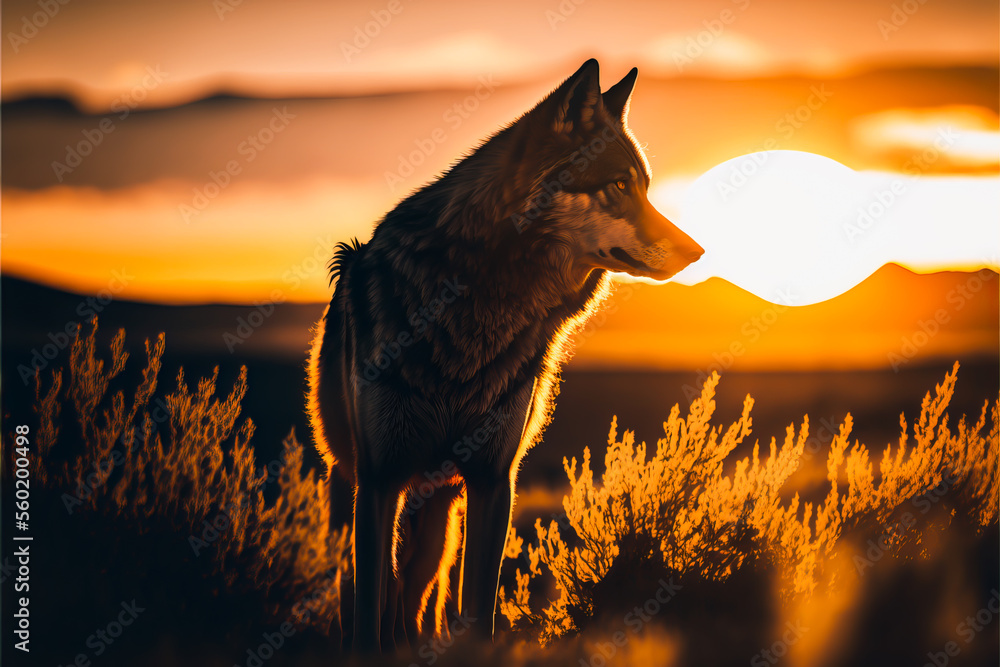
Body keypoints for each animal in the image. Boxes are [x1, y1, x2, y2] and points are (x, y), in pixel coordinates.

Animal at [307, 58, 704, 651]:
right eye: (619, 185)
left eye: (647, 188)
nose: (697, 251)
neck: (480, 302)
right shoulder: (380, 479)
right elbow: (368, 619)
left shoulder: (493, 479)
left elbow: (477, 611)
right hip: (356, 489)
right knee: (371, 594)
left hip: (439, 521)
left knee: (421, 600)